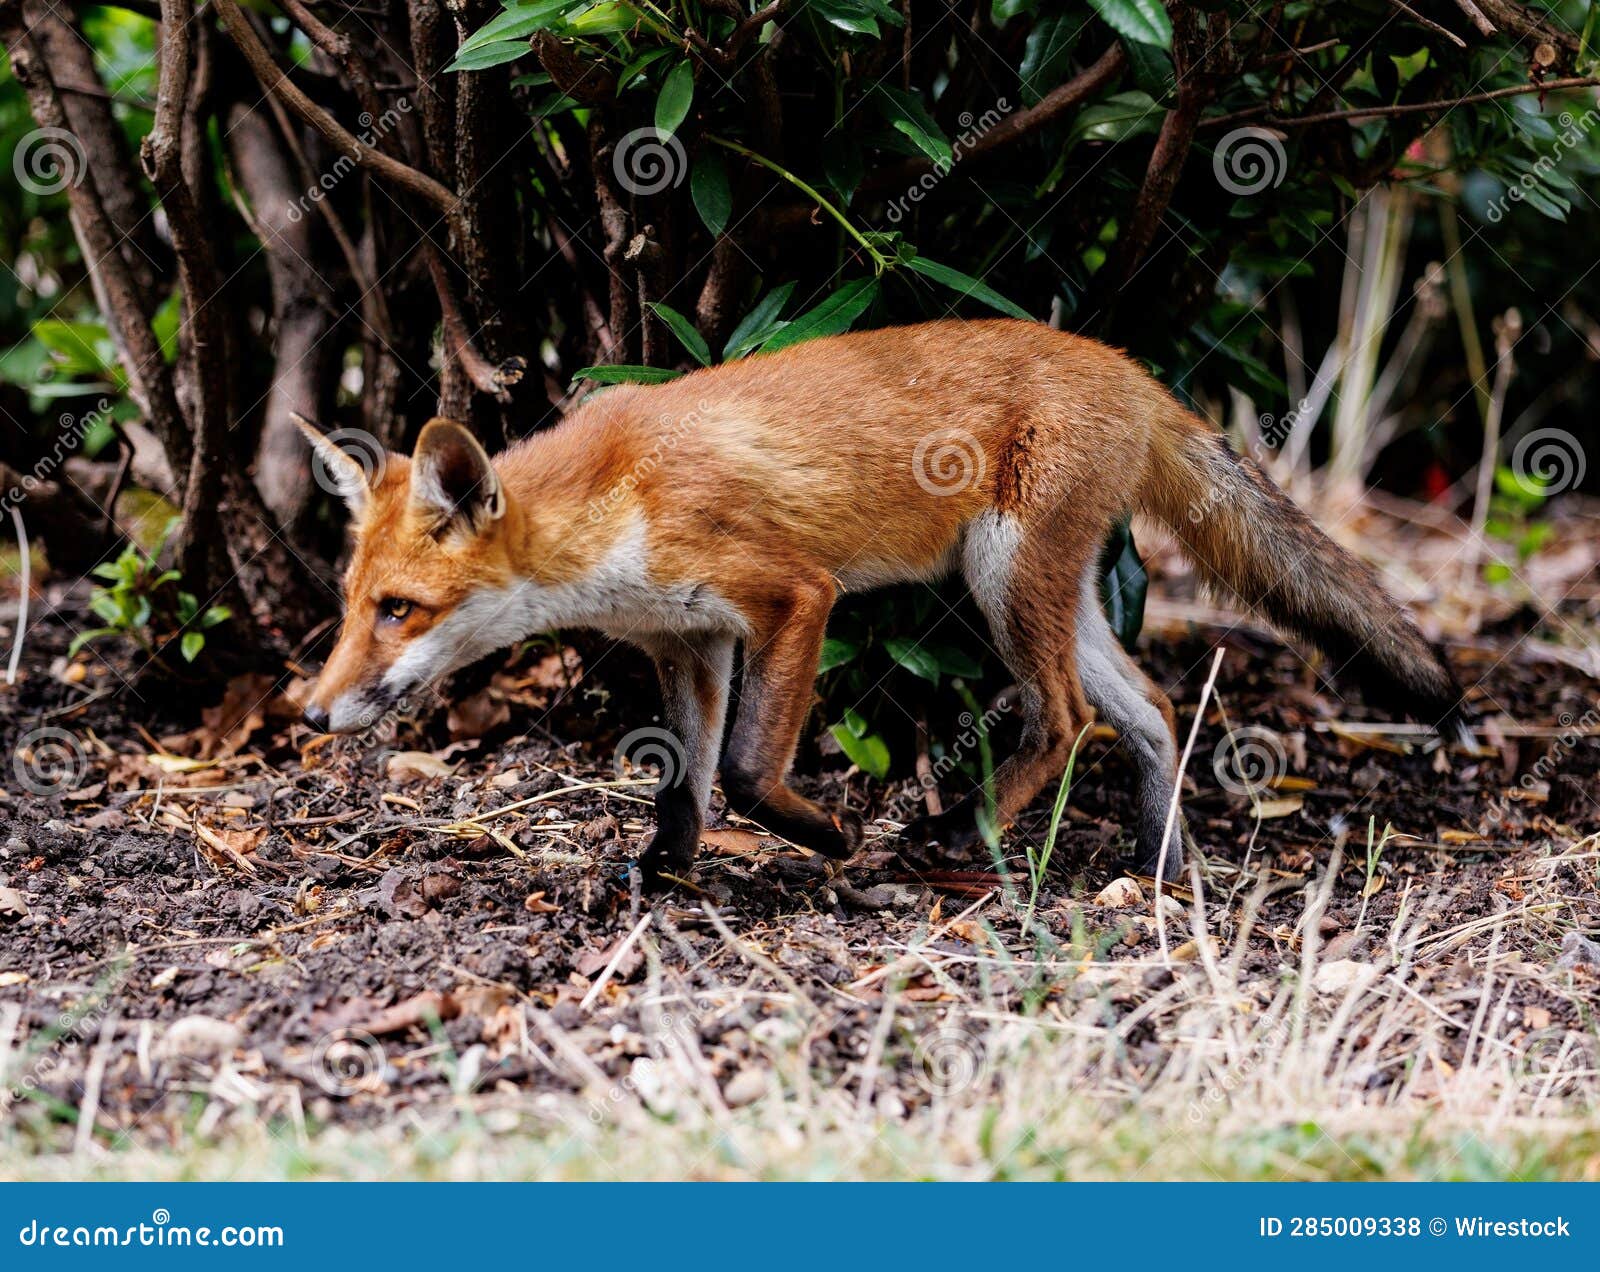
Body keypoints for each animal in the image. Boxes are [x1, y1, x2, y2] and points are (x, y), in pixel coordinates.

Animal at [297, 318, 1469, 885]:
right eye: (351, 607)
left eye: (399, 610)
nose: (308, 712)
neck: (612, 501)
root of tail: (1129, 369)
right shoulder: (689, 642)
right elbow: (685, 787)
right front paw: (659, 877)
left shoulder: (788, 597)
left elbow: (745, 770)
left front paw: (827, 840)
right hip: (1050, 595)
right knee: (1150, 710)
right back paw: (1160, 867)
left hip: (1002, 580)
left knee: (1066, 718)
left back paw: (964, 832)